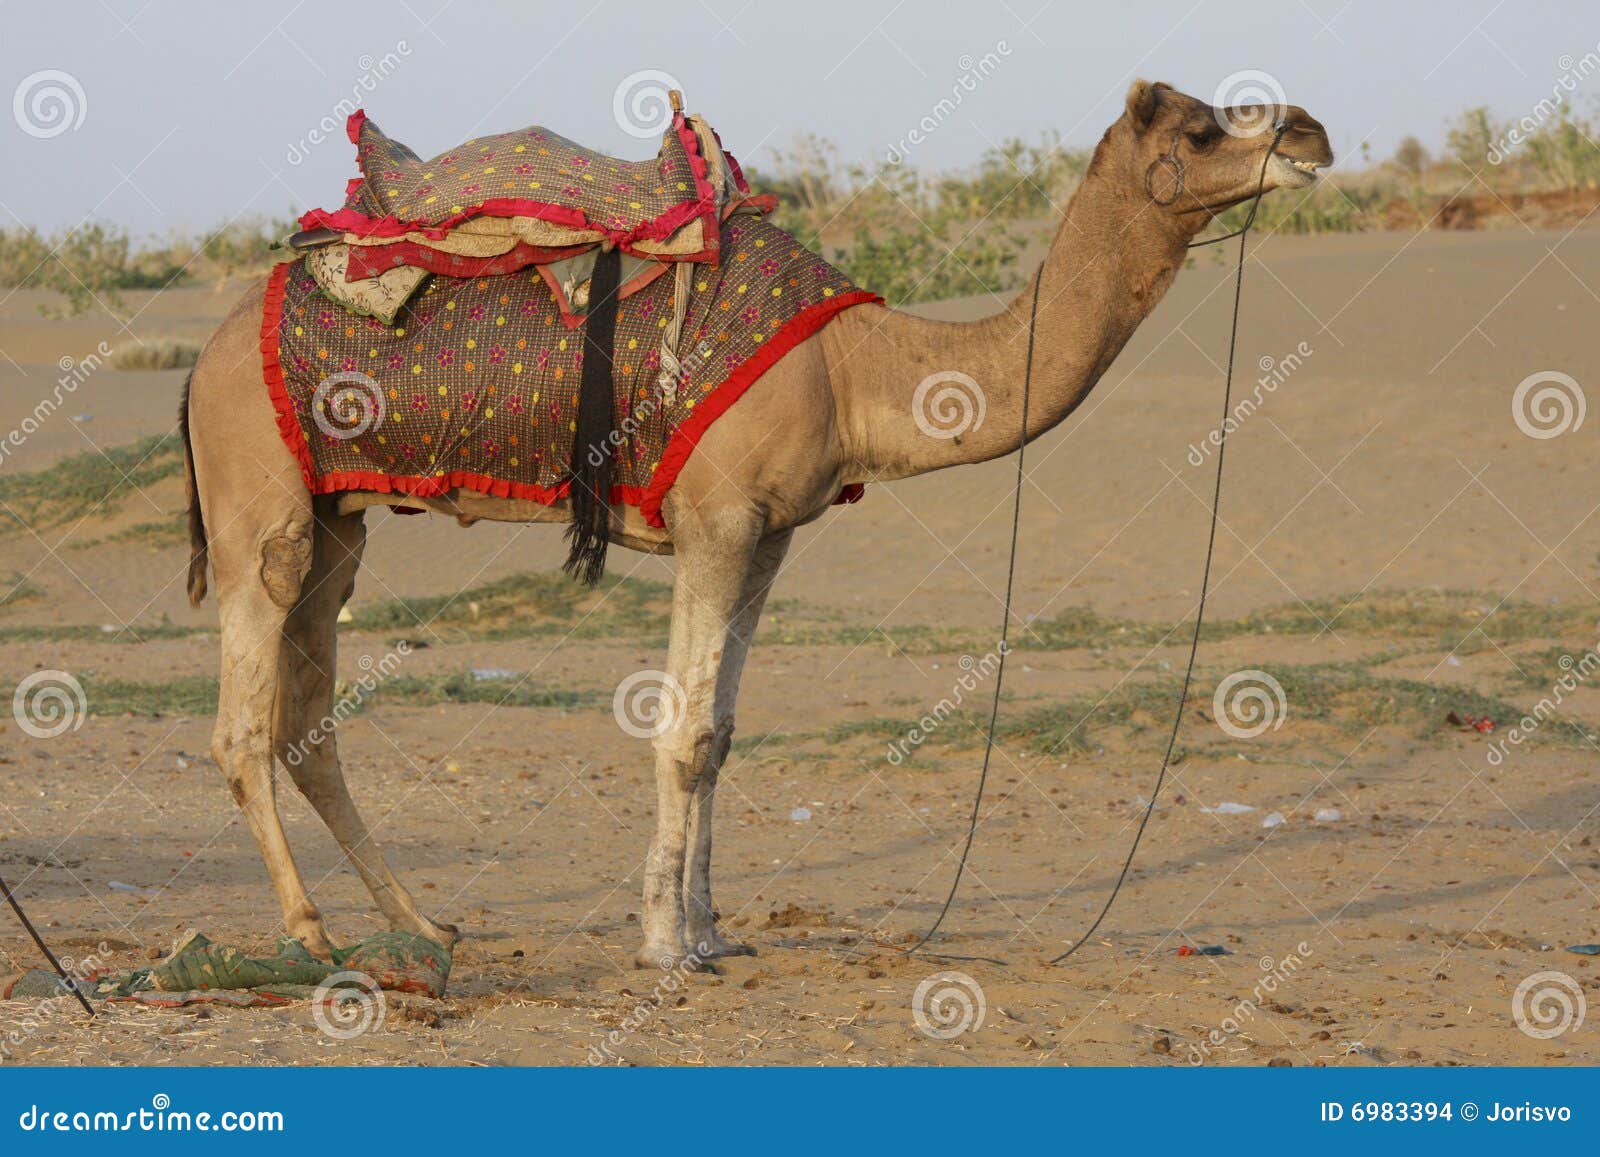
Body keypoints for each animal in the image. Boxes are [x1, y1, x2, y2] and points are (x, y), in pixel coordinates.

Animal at [181, 81, 1331, 967]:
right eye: (1201, 130)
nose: (1311, 135)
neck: (858, 370)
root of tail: (206, 352)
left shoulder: (772, 533)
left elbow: (722, 734)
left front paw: (711, 928)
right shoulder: (718, 520)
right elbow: (682, 733)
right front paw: (666, 943)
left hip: (336, 518)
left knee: (308, 716)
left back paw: (422, 924)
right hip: (259, 504)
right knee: (242, 723)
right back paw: (312, 932)